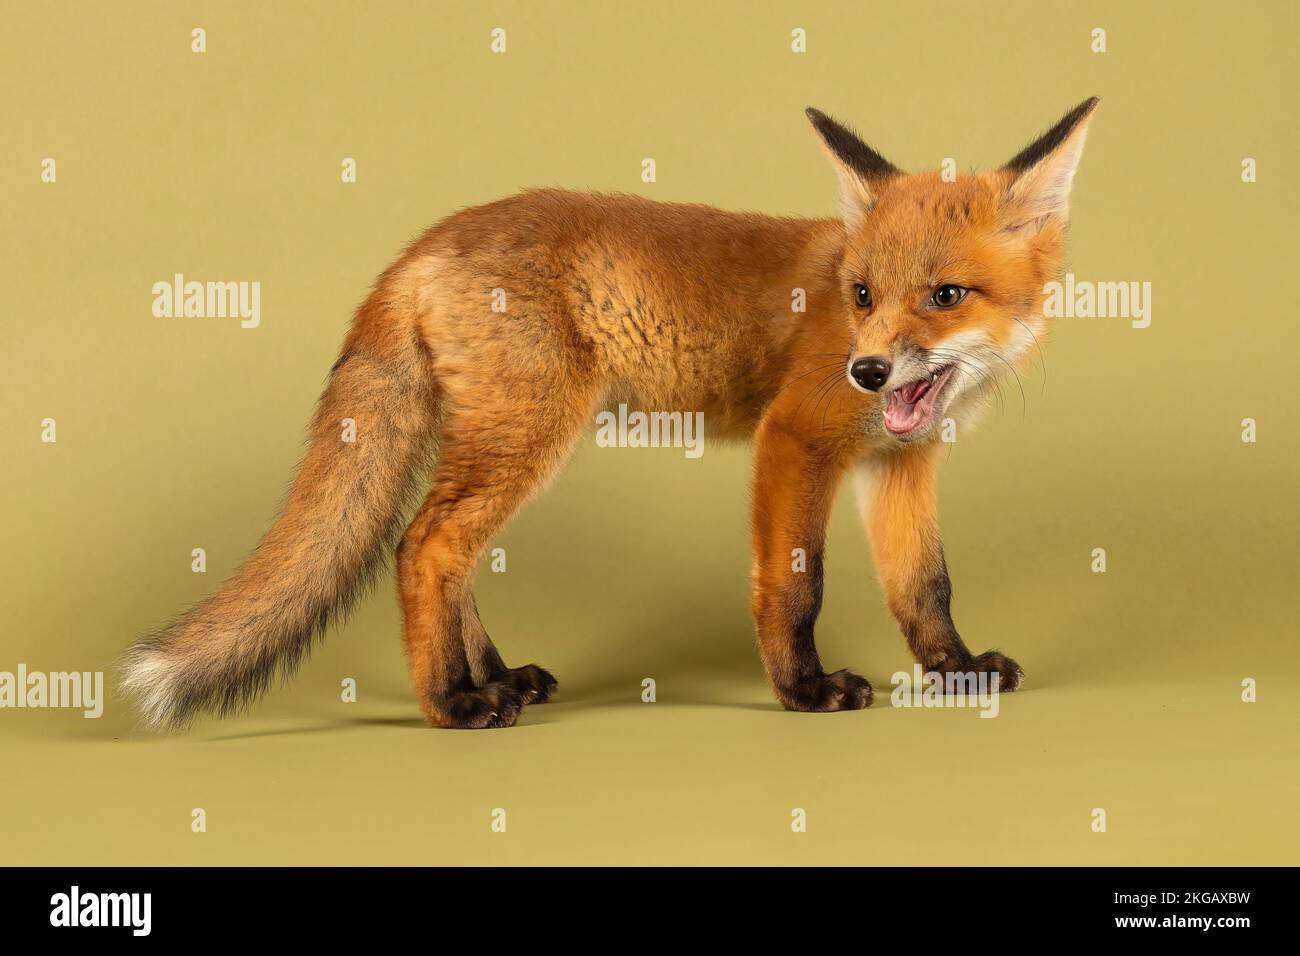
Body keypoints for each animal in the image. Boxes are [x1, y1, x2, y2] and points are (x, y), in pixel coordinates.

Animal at [124, 98, 1098, 730]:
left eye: (945, 296)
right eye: (861, 295)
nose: (866, 369)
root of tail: (422, 244)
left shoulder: (898, 461)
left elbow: (924, 587)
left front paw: (955, 671)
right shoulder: (795, 438)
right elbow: (795, 586)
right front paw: (803, 691)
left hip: (503, 439)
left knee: (450, 556)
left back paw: (495, 677)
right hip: (528, 435)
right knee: (423, 546)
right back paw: (453, 702)